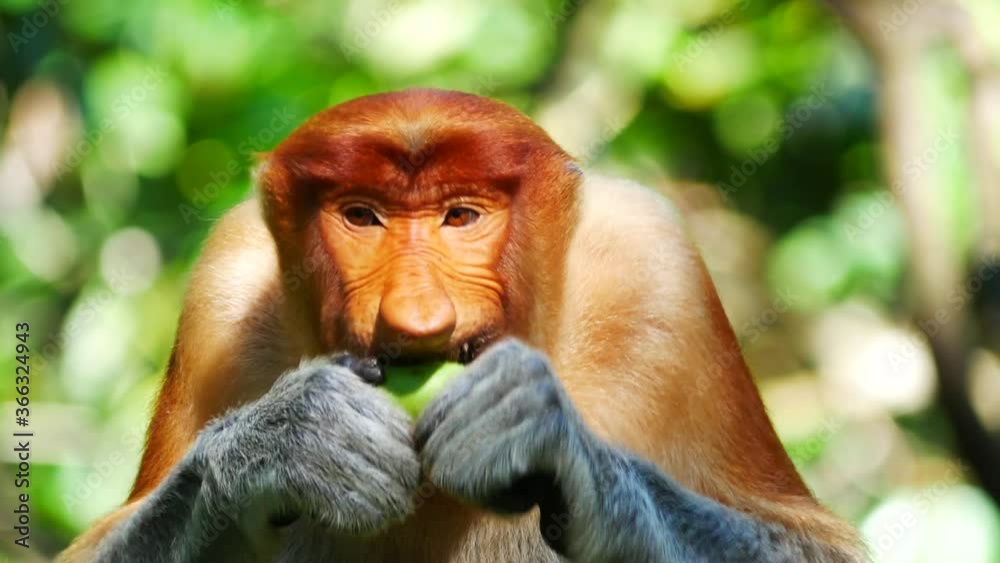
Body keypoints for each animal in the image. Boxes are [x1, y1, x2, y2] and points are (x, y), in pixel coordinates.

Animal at [60, 88, 866, 562]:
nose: (418, 318)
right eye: (363, 215)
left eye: (461, 216)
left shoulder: (660, 272)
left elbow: (810, 539)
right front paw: (295, 436)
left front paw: (542, 434)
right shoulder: (219, 292)